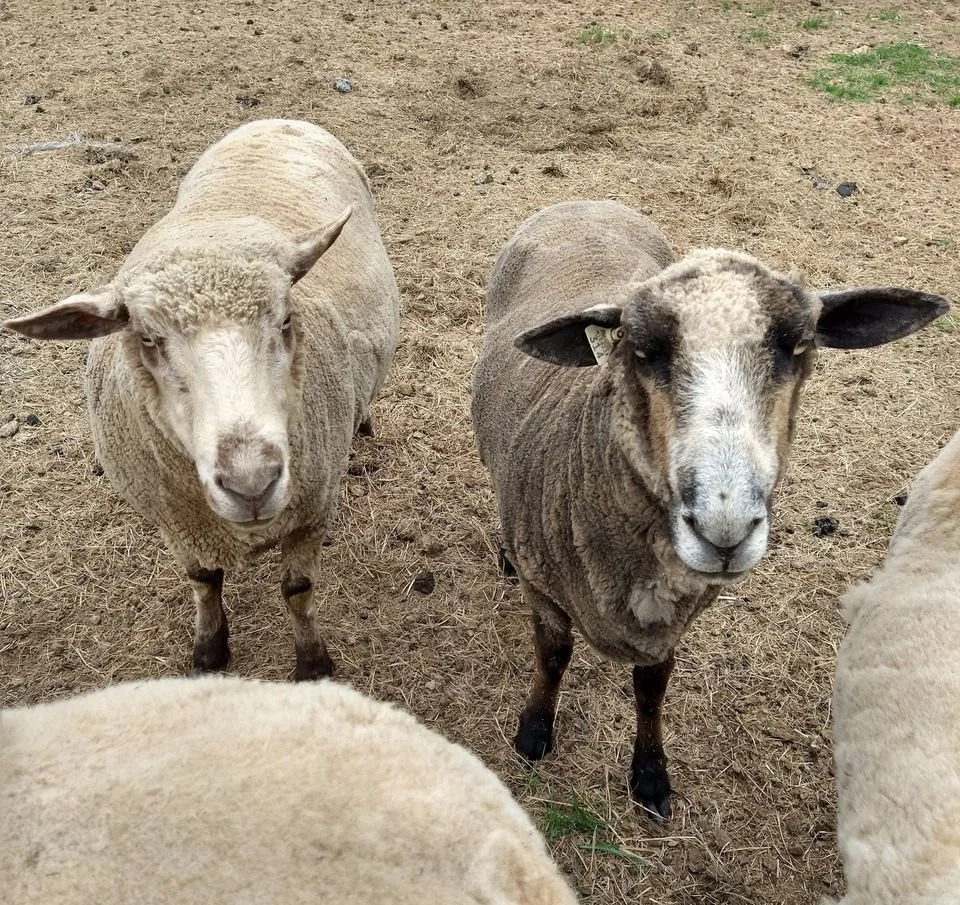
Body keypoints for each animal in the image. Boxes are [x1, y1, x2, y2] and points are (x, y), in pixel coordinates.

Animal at [4, 119, 400, 680]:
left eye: (285, 319)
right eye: (148, 339)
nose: (251, 483)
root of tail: (274, 120)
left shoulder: (312, 510)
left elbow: (298, 591)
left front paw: (312, 663)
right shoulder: (177, 520)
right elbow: (204, 582)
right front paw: (210, 649)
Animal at [470, 199, 950, 820]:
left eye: (798, 347)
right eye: (640, 350)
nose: (725, 529)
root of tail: (587, 201)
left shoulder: (673, 625)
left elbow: (652, 691)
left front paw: (650, 775)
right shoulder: (545, 592)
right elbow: (553, 657)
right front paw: (533, 732)